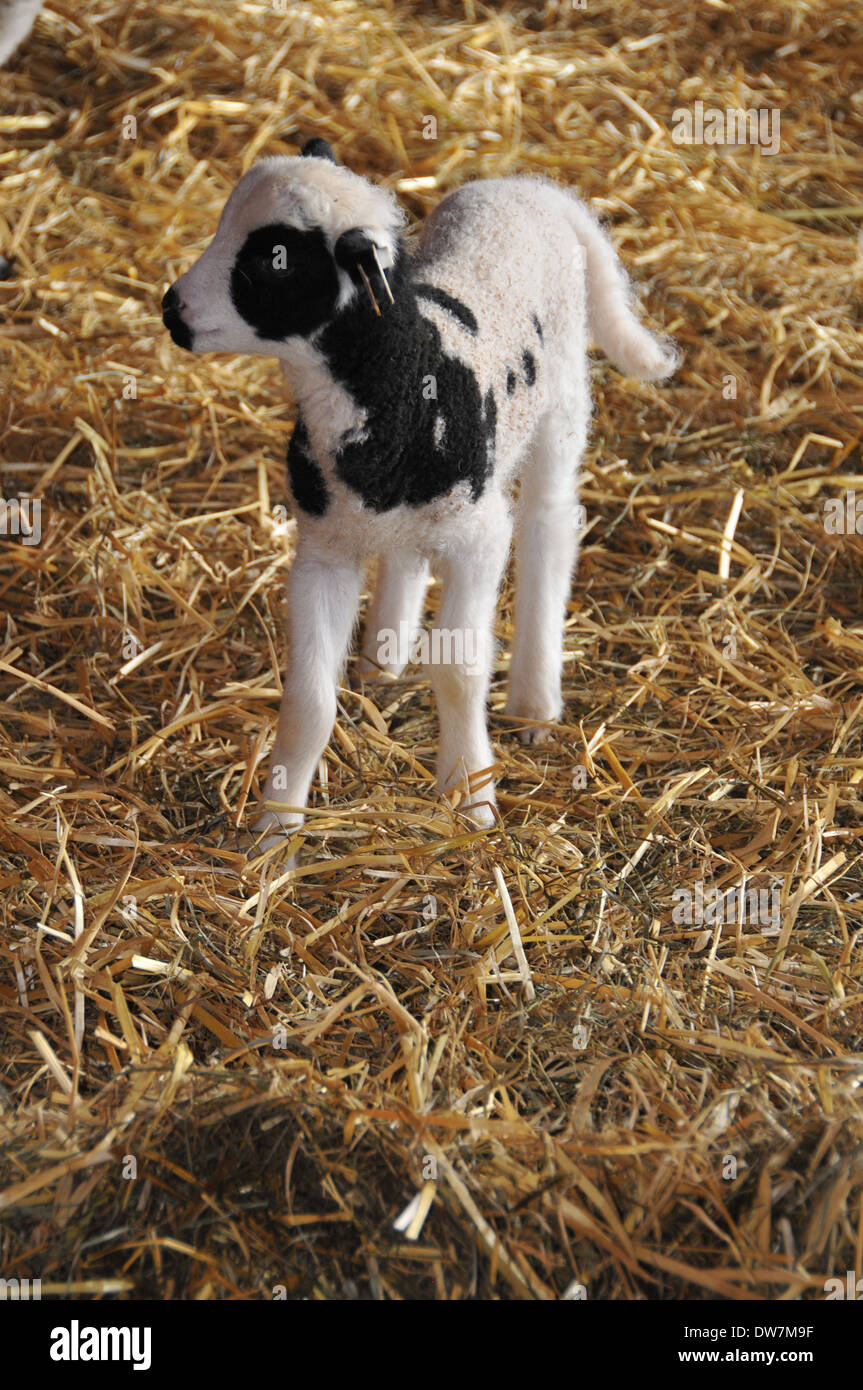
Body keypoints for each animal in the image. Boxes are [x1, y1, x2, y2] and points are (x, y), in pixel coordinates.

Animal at [162, 139, 679, 854]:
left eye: (275, 260)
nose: (171, 310)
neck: (408, 381)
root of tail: (532, 187)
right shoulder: (323, 550)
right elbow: (308, 698)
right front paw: (274, 832)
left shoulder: (478, 539)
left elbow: (459, 672)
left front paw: (470, 799)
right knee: (407, 556)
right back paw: (383, 660)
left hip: (562, 399)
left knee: (548, 527)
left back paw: (534, 701)